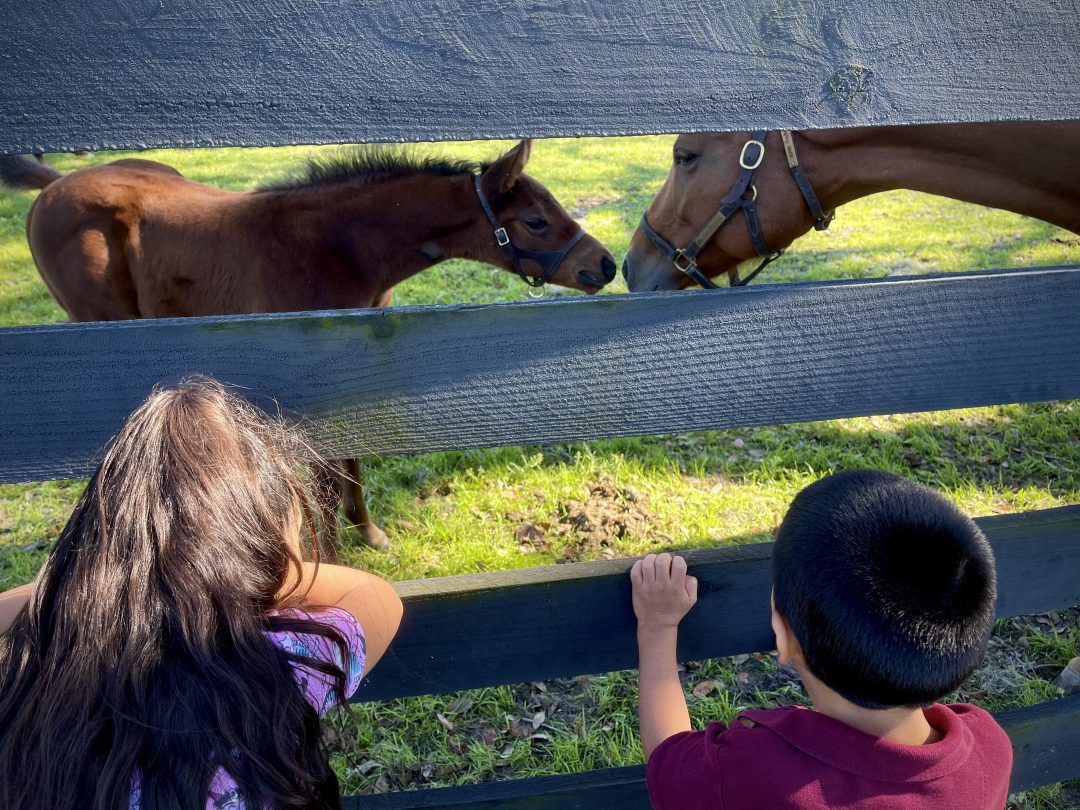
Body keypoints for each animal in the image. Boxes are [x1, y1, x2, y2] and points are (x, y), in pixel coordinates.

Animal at [0, 139, 618, 550]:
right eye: (536, 221)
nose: (605, 265)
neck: (337, 249)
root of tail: (53, 185)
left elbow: (354, 451)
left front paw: (367, 530)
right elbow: (322, 467)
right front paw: (326, 550)